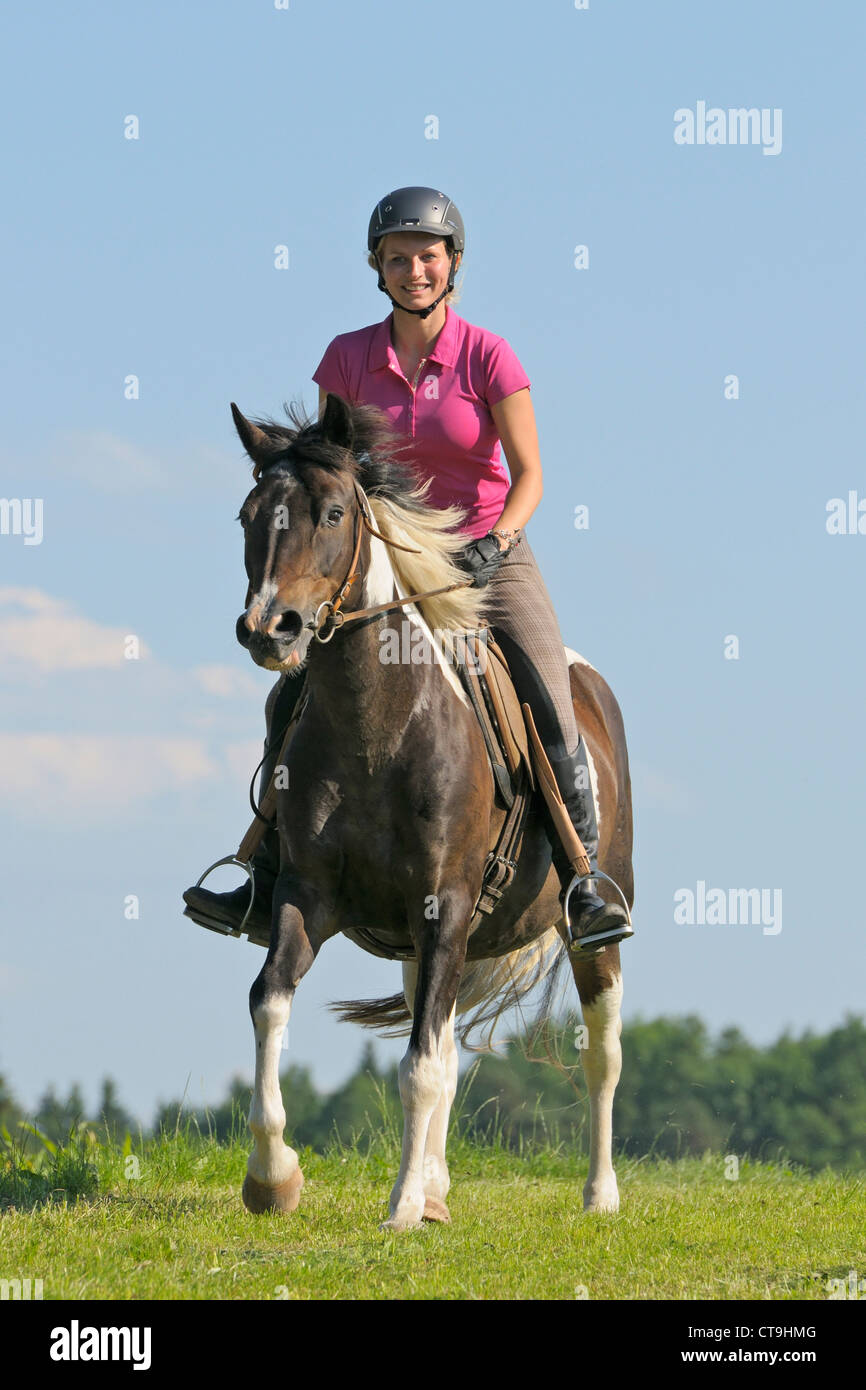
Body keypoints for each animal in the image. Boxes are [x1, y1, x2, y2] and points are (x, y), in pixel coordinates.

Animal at [228, 392, 633, 1230]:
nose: (269, 628)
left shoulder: (444, 904)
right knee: (443, 1042)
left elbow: (418, 1066)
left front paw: (402, 1208)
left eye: (333, 513)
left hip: (593, 927)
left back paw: (599, 1194)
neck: (379, 724)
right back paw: (440, 1188)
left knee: (600, 1052)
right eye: (248, 516)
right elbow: (269, 1005)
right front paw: (273, 1178)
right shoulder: (307, 897)